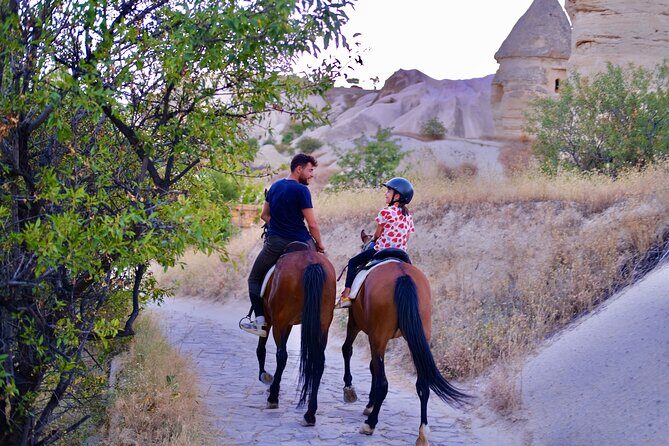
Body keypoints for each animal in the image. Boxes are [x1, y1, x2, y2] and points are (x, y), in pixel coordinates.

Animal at [254, 245, 336, 426]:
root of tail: (311, 263)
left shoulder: (272, 319)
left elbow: (261, 348)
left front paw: (264, 376)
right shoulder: (290, 324)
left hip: (280, 321)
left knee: (281, 356)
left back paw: (273, 397)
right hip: (322, 325)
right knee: (319, 362)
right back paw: (310, 413)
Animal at [340, 230, 470, 445]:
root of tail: (403, 275)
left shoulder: (357, 324)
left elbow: (349, 351)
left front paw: (352, 391)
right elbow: (373, 367)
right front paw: (369, 403)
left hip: (378, 336)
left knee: (383, 382)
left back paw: (370, 424)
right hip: (416, 337)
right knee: (423, 385)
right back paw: (423, 432)